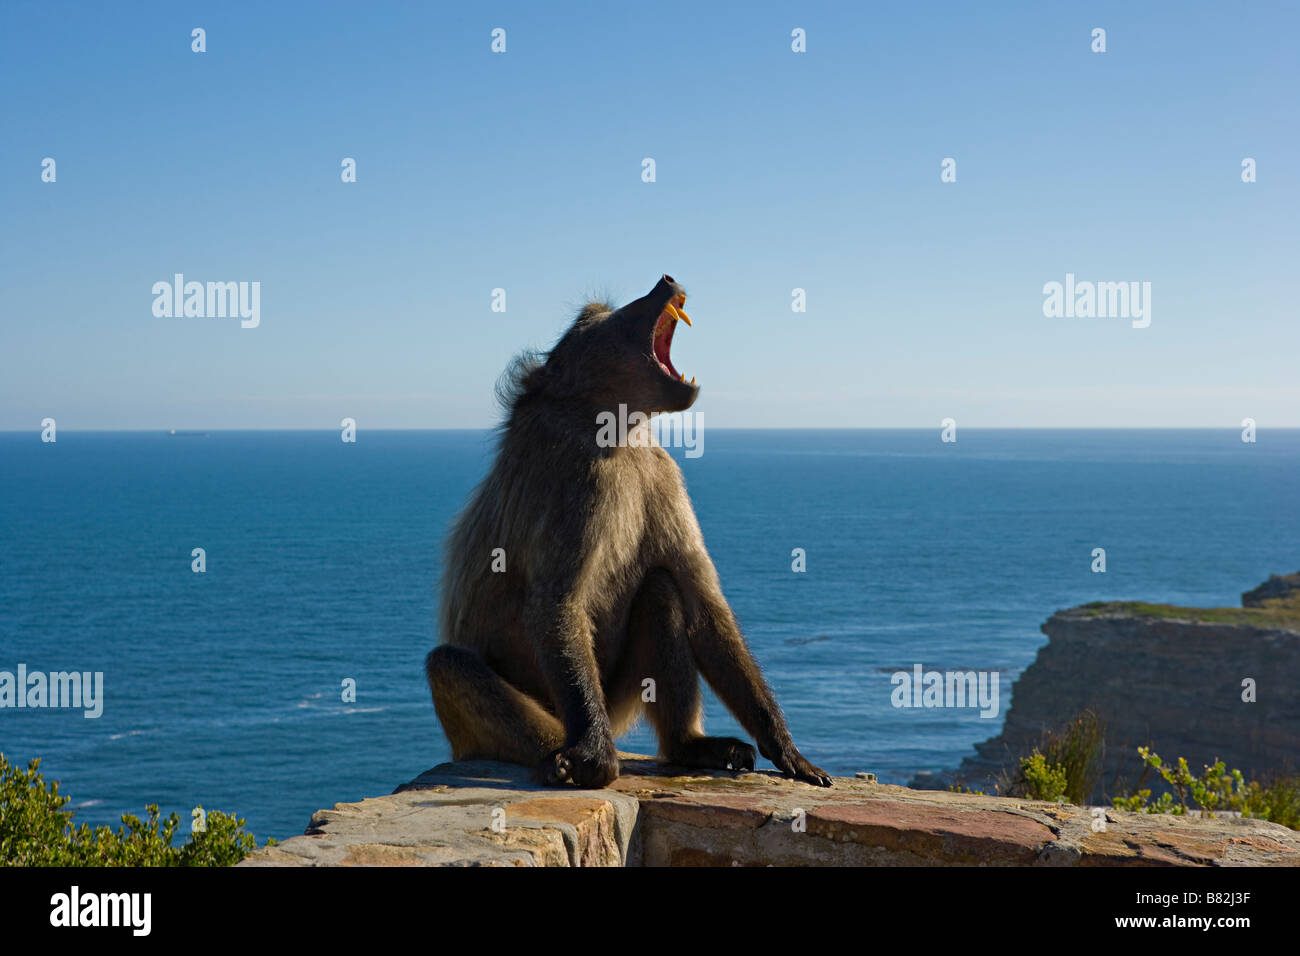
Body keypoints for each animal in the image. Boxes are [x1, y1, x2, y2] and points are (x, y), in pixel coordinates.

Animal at [426, 274, 831, 789]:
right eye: (595, 315)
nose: (666, 279)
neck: (618, 431)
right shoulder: (583, 481)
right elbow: (555, 602)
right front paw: (595, 757)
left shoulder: (662, 473)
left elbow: (704, 603)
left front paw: (786, 748)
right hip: (560, 713)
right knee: (448, 664)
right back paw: (562, 760)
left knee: (662, 590)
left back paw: (688, 746)